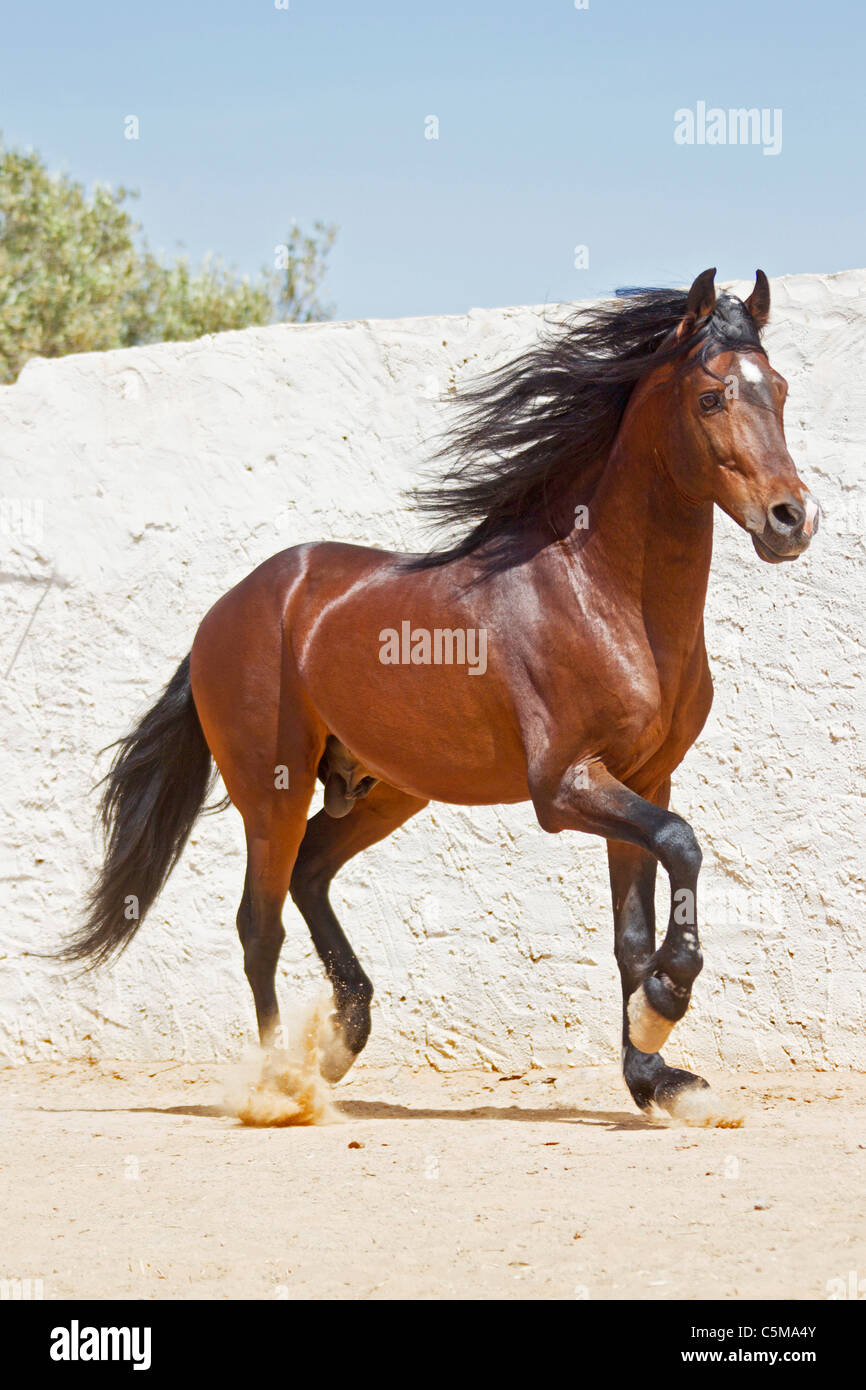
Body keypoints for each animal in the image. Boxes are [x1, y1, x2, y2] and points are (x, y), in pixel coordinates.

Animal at [61, 268, 820, 1125]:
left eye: (780, 389)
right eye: (711, 397)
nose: (792, 520)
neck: (604, 595)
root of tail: (226, 610)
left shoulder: (644, 779)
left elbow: (634, 927)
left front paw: (656, 1073)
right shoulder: (564, 786)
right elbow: (684, 845)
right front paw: (663, 1008)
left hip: (386, 790)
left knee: (310, 874)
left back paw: (345, 1034)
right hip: (272, 791)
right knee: (260, 923)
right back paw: (282, 1086)